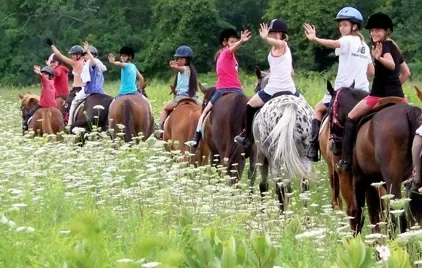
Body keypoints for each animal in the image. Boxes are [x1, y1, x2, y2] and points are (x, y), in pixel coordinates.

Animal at [252, 66, 314, 210]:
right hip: (303, 158)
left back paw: (283, 214)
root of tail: (290, 106)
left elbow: (263, 185)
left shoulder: (261, 156)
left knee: (280, 186)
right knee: (303, 186)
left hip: (275, 159)